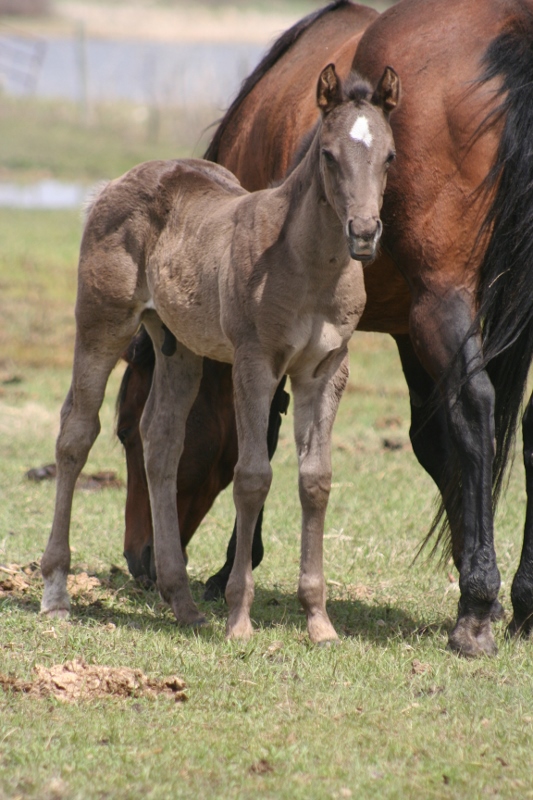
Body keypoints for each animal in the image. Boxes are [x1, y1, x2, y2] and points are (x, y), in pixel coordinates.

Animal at [40, 64, 399, 643]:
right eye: (327, 154)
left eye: (389, 155)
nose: (364, 233)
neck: (307, 266)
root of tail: (111, 186)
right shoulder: (256, 364)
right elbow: (253, 478)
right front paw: (238, 620)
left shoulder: (325, 370)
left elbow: (315, 481)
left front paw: (319, 622)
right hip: (101, 323)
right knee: (76, 432)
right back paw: (56, 592)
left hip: (176, 344)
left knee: (161, 439)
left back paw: (182, 601)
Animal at [118, 0, 533, 657]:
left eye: (126, 434)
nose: (138, 559)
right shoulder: (399, 333)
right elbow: (433, 443)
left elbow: (264, 438)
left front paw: (232, 569)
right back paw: (517, 601)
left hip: (442, 299)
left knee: (476, 404)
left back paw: (474, 611)